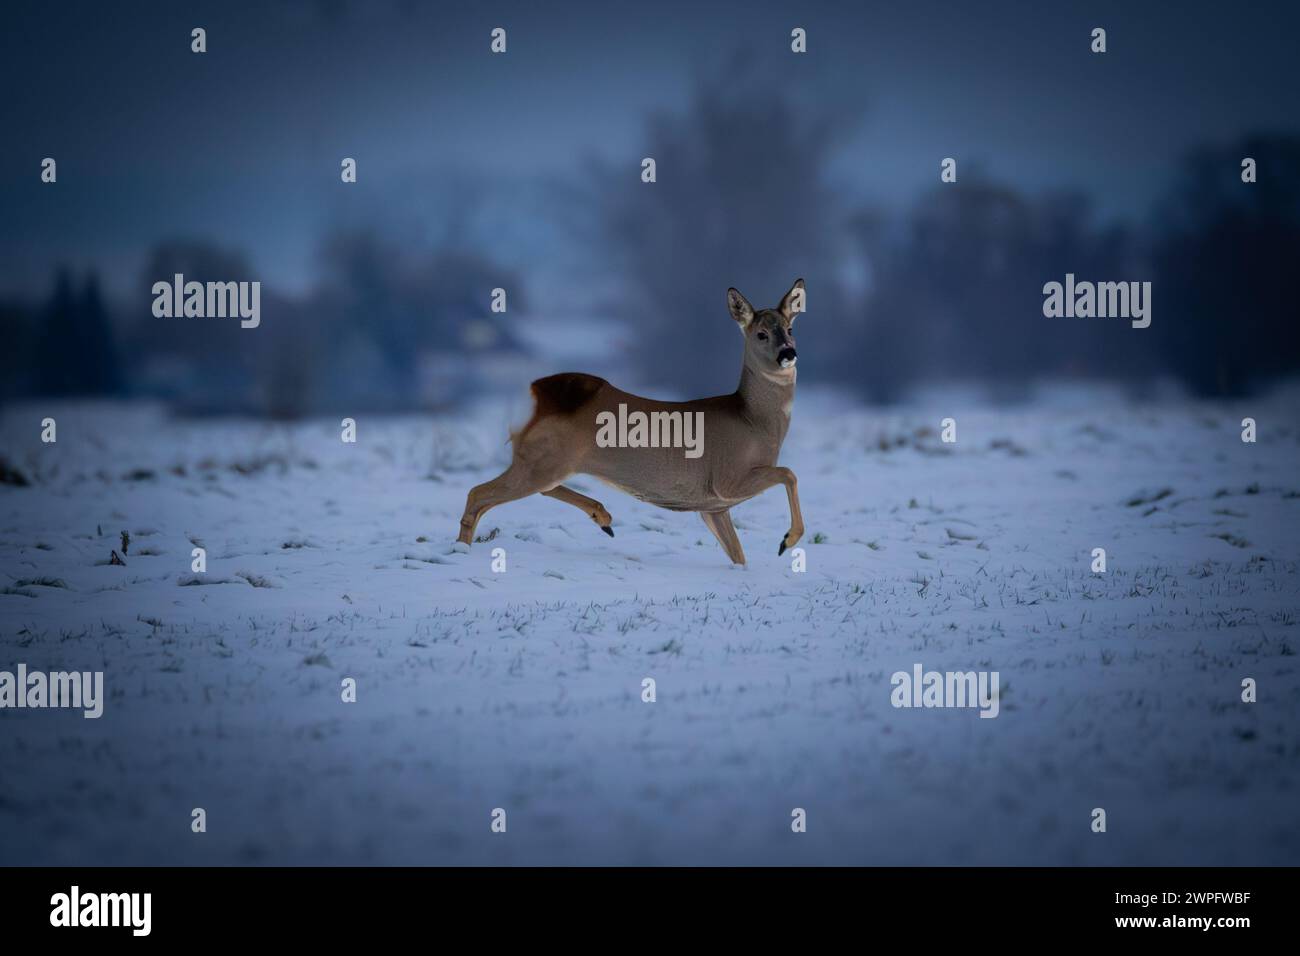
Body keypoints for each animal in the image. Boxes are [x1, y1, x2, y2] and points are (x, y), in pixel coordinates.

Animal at [456, 279, 806, 565]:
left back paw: (604, 517)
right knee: (477, 493)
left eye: (790, 329)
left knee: (534, 490)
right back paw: (461, 550)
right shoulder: (727, 479)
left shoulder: (713, 505)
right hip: (541, 460)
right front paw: (786, 541)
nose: (788, 354)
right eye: (761, 333)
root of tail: (532, 396)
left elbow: (738, 556)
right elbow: (789, 473)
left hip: (546, 461)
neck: (753, 421)